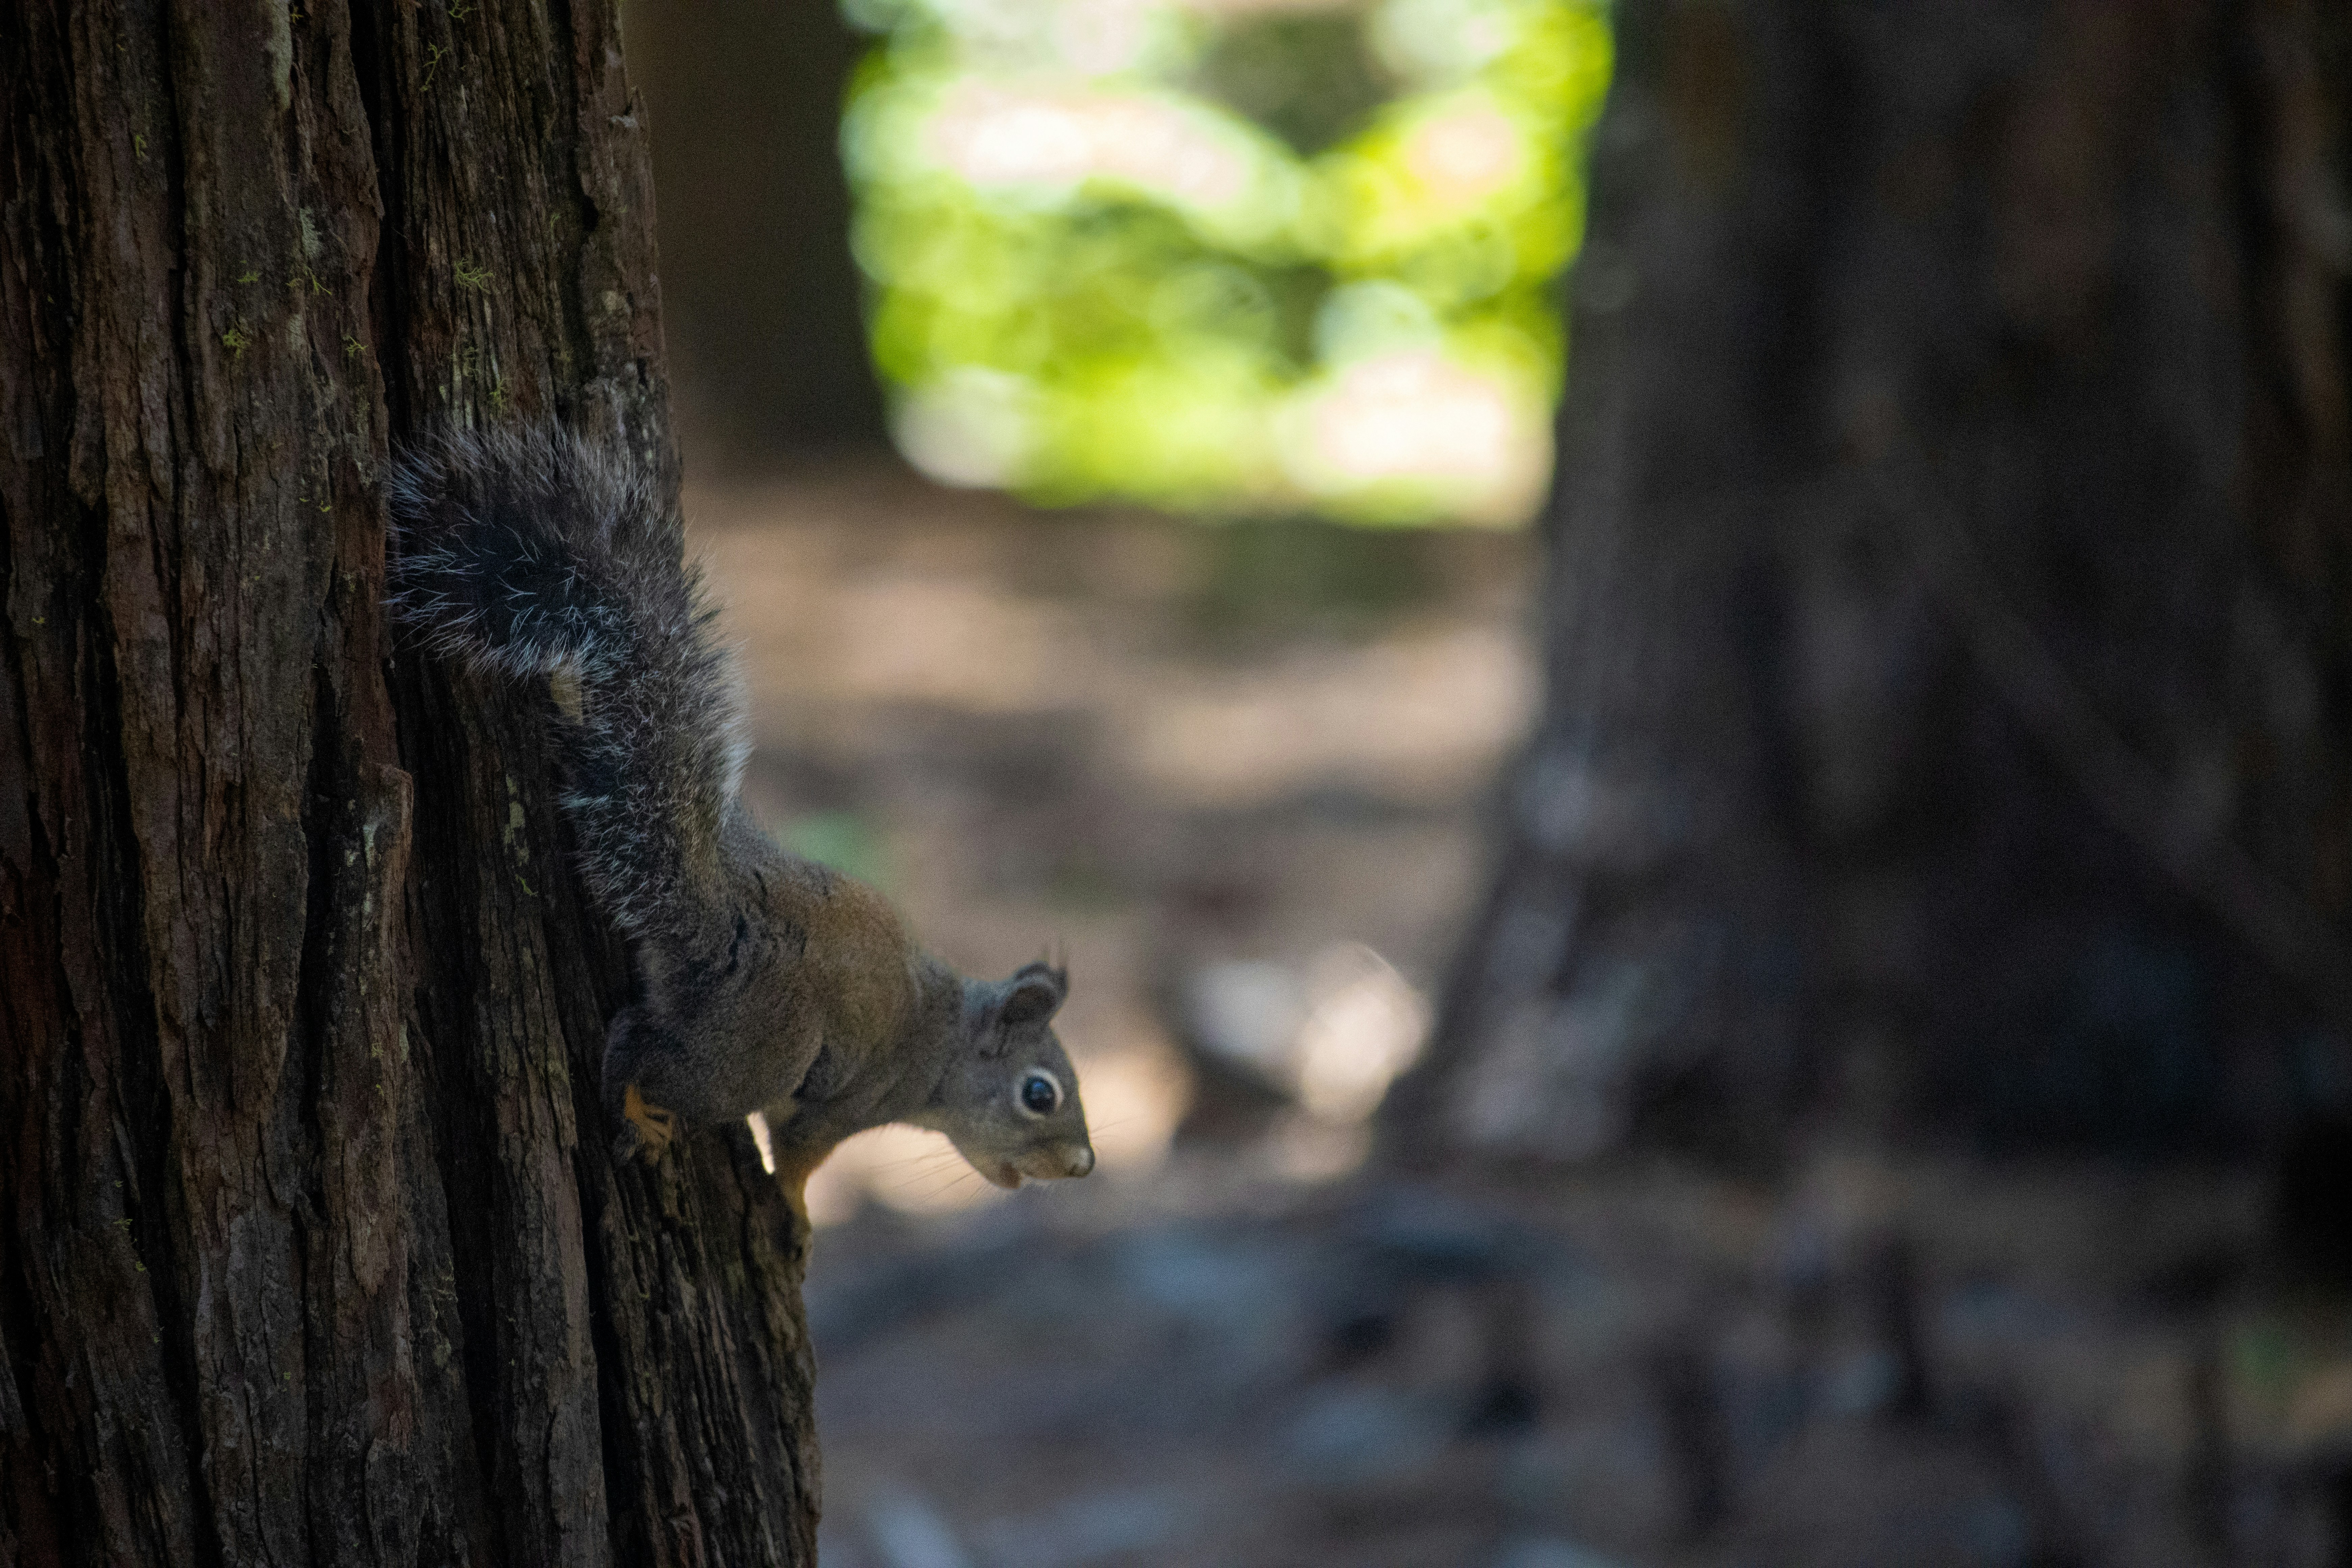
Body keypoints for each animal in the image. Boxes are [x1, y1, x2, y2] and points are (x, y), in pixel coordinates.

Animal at [384, 422, 1095, 1230]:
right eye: (1039, 1094)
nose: (1082, 1165)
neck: (942, 1042)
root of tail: (720, 913)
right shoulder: (848, 1103)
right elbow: (802, 1154)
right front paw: (797, 1214)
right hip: (755, 1053)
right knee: (646, 1051)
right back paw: (640, 1108)